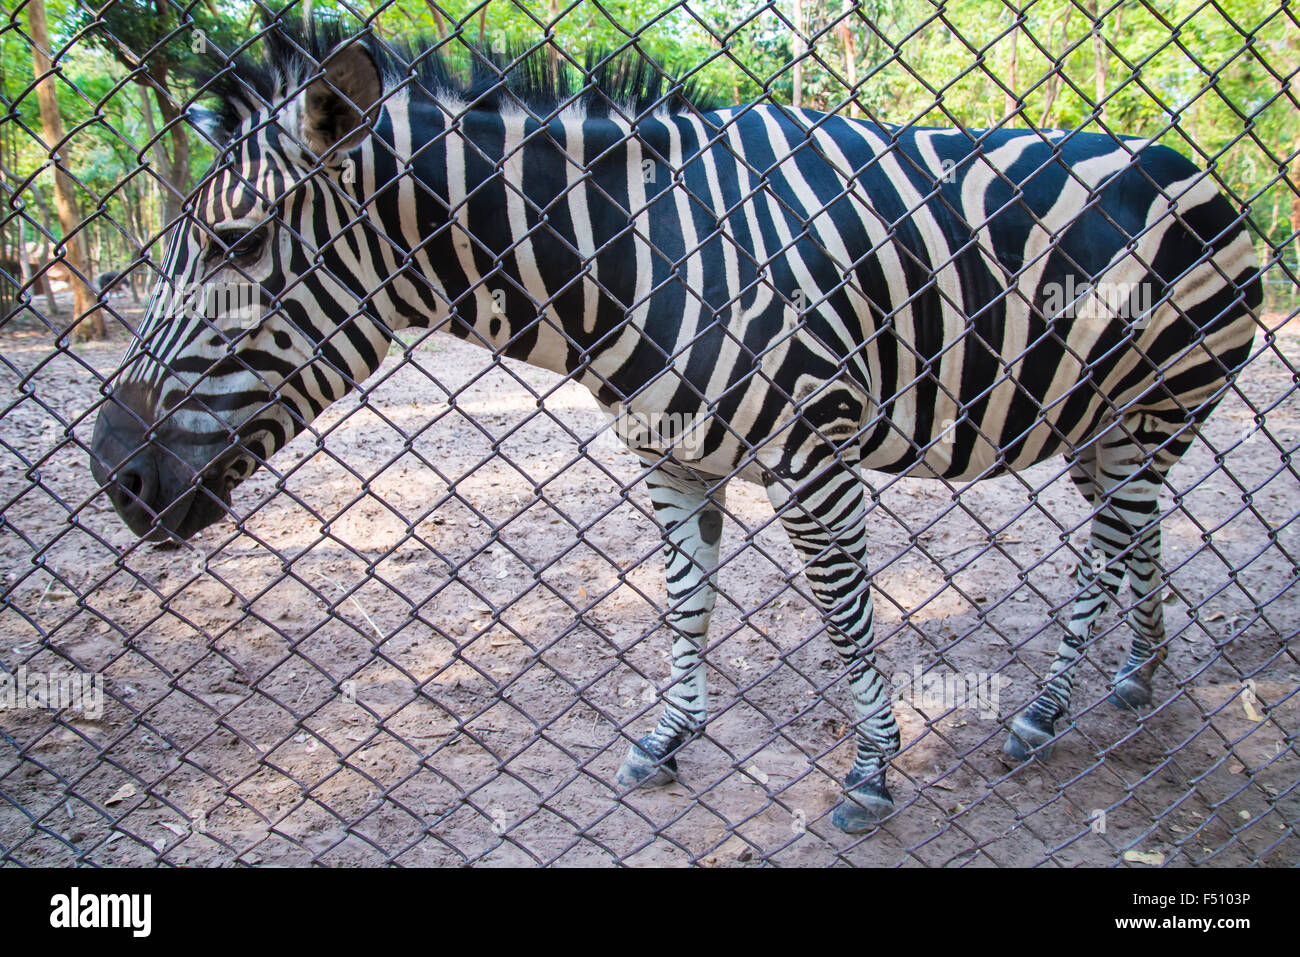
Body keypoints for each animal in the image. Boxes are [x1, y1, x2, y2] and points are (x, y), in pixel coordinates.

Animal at [89, 23, 1262, 834]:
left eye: (237, 244)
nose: (114, 480)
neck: (645, 255)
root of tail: (1204, 169)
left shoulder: (812, 455)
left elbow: (845, 616)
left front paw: (871, 771)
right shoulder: (670, 460)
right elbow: (684, 602)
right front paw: (667, 736)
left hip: (1164, 401)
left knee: (1108, 546)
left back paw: (1045, 713)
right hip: (1106, 427)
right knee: (1139, 528)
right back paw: (1138, 673)